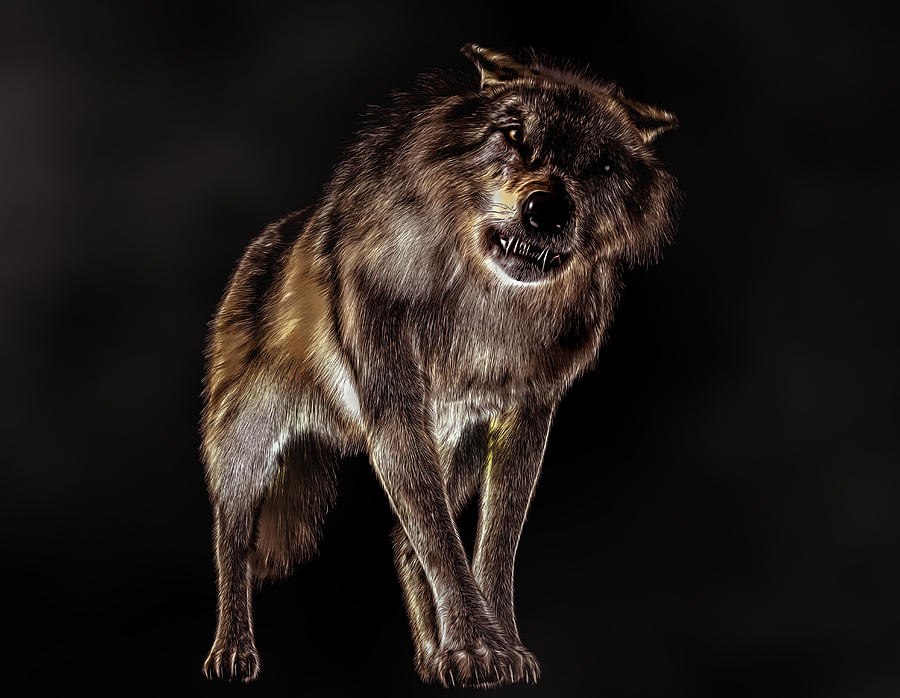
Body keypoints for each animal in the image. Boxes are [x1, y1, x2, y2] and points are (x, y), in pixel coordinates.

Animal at [201, 44, 678, 687]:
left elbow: (490, 546)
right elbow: (444, 543)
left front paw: (495, 648)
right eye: (513, 134)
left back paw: (431, 660)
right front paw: (477, 649)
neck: (484, 307)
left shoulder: (523, 420)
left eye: (601, 166)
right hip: (244, 450)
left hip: (459, 450)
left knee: (407, 542)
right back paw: (232, 650)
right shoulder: (396, 409)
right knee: (232, 542)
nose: (546, 209)